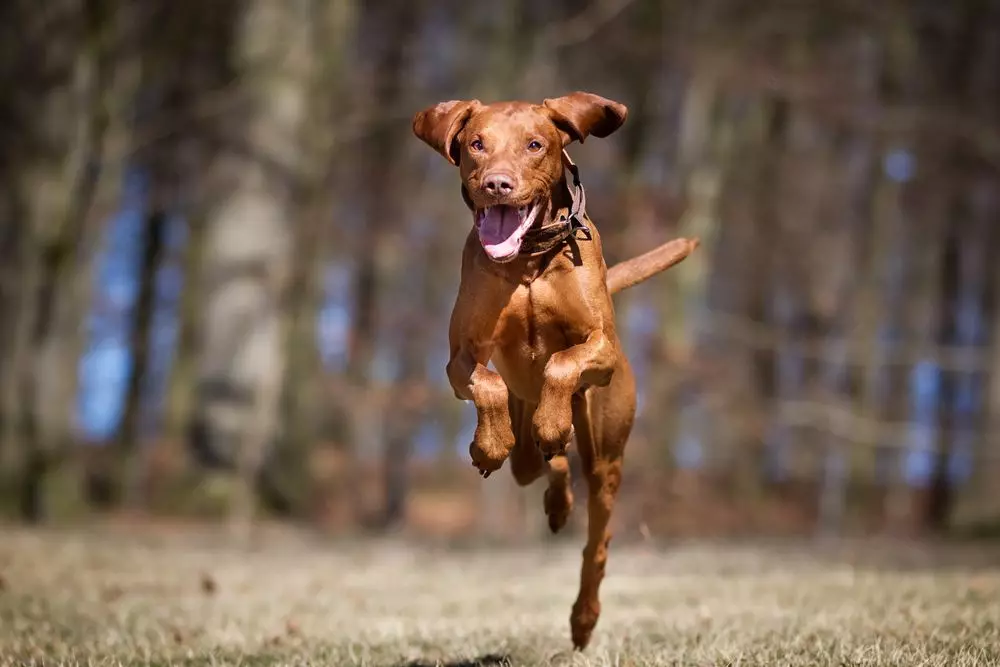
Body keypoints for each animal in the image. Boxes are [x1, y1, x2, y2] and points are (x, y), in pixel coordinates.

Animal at [410, 91, 700, 648]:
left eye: (535, 145)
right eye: (476, 143)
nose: (497, 184)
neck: (528, 261)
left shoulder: (602, 348)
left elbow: (564, 362)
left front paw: (551, 415)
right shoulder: (460, 355)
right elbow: (487, 381)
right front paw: (489, 443)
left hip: (607, 457)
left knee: (597, 540)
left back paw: (584, 615)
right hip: (525, 453)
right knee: (544, 460)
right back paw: (553, 490)